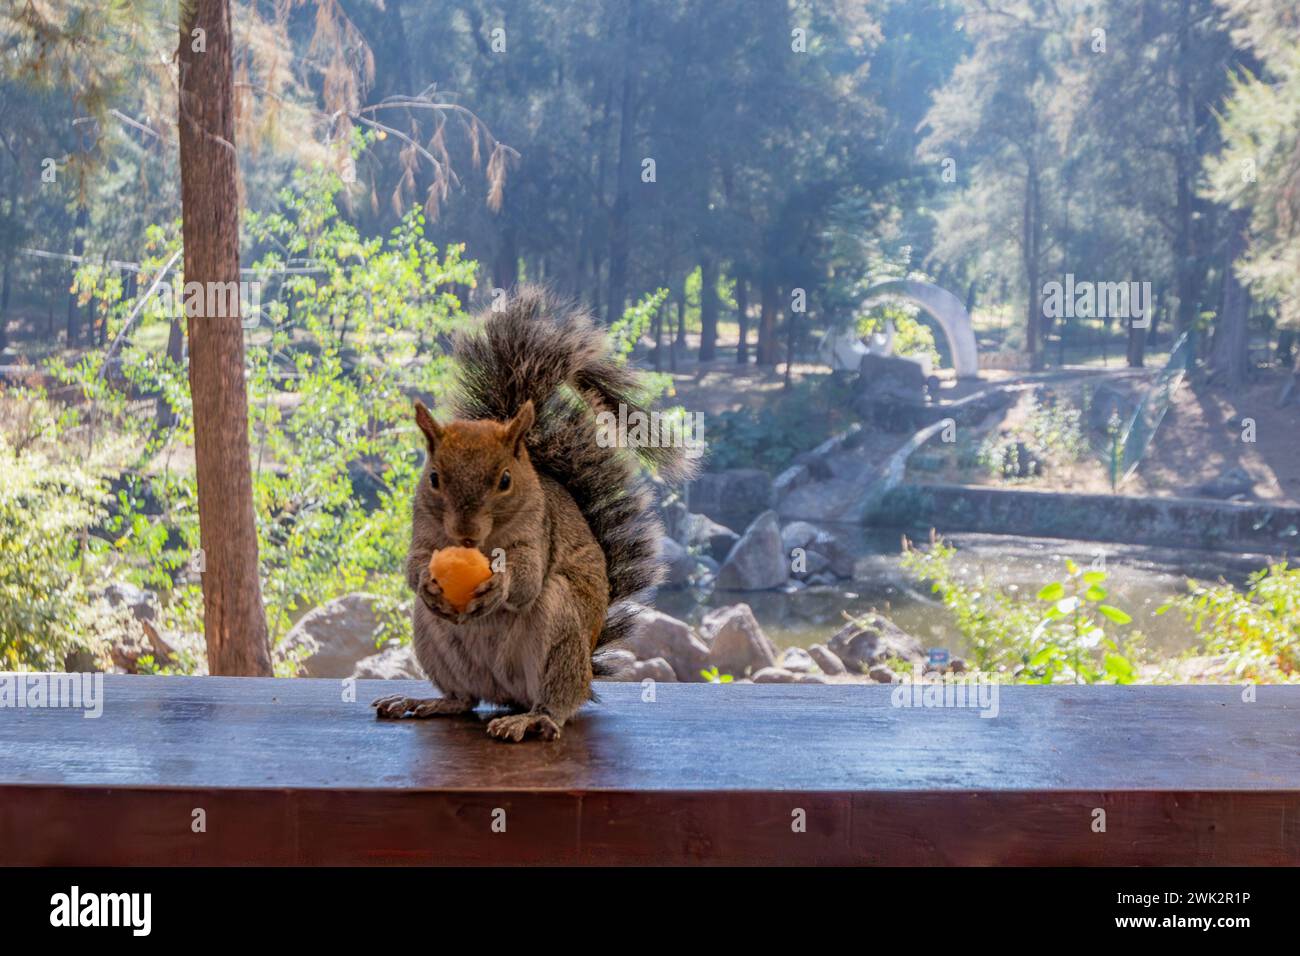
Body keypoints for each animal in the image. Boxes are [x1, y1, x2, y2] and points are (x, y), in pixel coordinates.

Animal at [372, 287, 696, 741]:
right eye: (433, 477)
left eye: (505, 480)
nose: (465, 533)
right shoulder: (423, 530)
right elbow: (414, 564)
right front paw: (426, 582)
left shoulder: (538, 533)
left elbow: (526, 577)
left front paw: (500, 585)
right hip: (434, 639)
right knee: (463, 699)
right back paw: (427, 701)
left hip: (558, 636)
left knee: (555, 703)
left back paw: (532, 719)